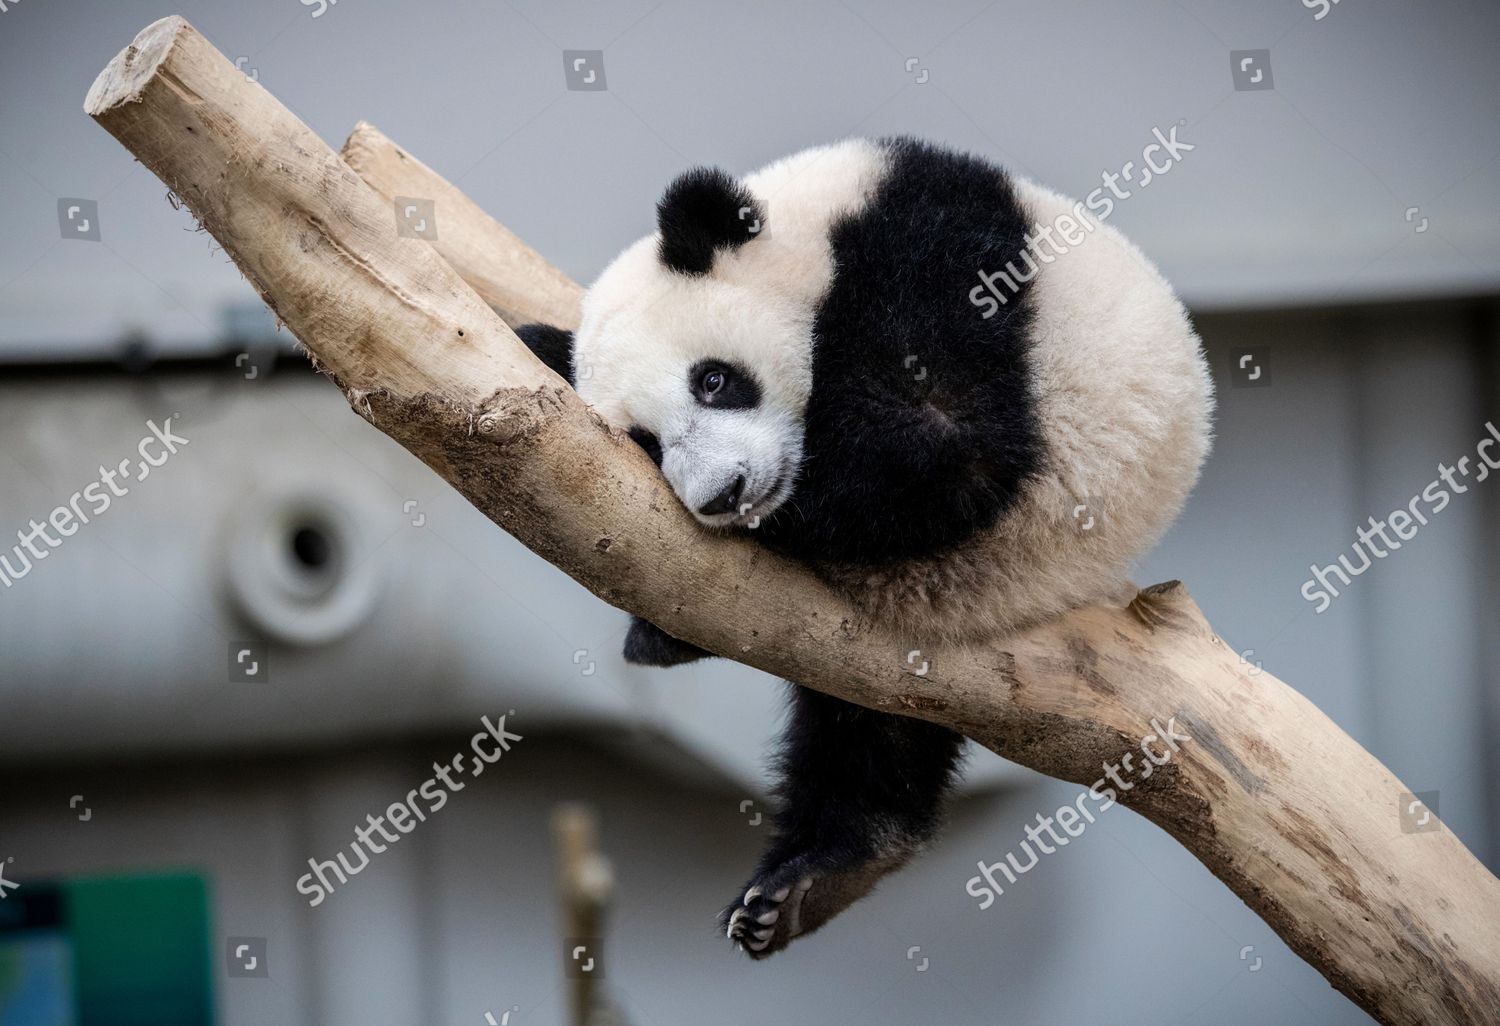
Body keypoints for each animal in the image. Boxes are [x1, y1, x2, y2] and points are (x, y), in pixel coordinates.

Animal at [515, 136, 1213, 958]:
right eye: (645, 444)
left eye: (714, 381)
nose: (724, 494)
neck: (815, 229)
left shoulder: (937, 254)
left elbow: (947, 442)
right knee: (865, 733)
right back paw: (818, 875)